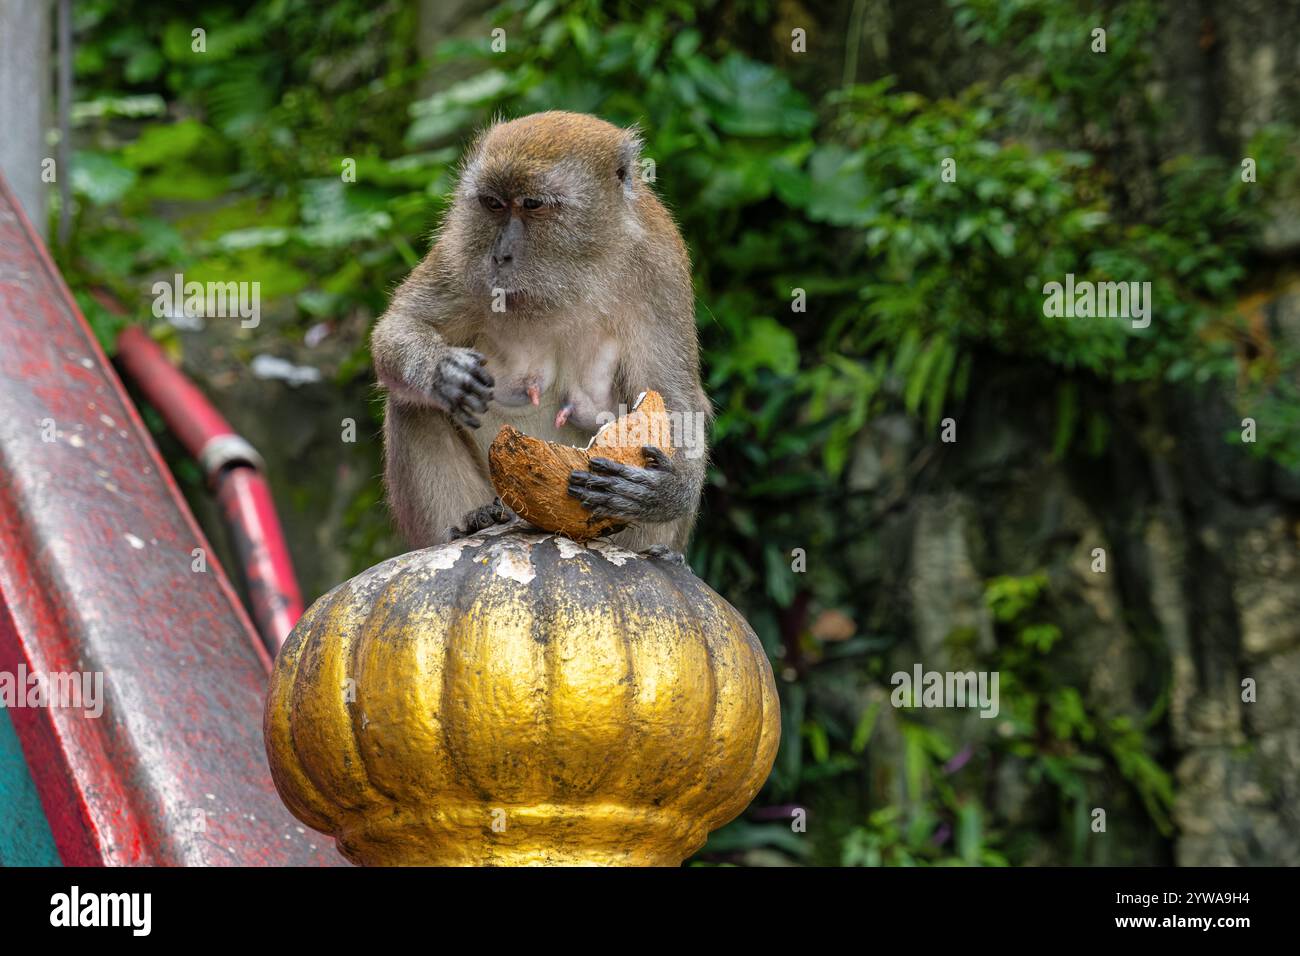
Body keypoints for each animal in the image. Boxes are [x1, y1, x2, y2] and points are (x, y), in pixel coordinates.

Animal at [370, 111, 710, 557]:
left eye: (532, 205)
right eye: (494, 204)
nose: (501, 255)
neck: (572, 273)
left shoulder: (659, 266)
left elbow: (673, 396)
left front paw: (668, 493)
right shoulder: (463, 250)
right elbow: (400, 328)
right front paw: (442, 371)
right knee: (411, 404)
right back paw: (472, 521)